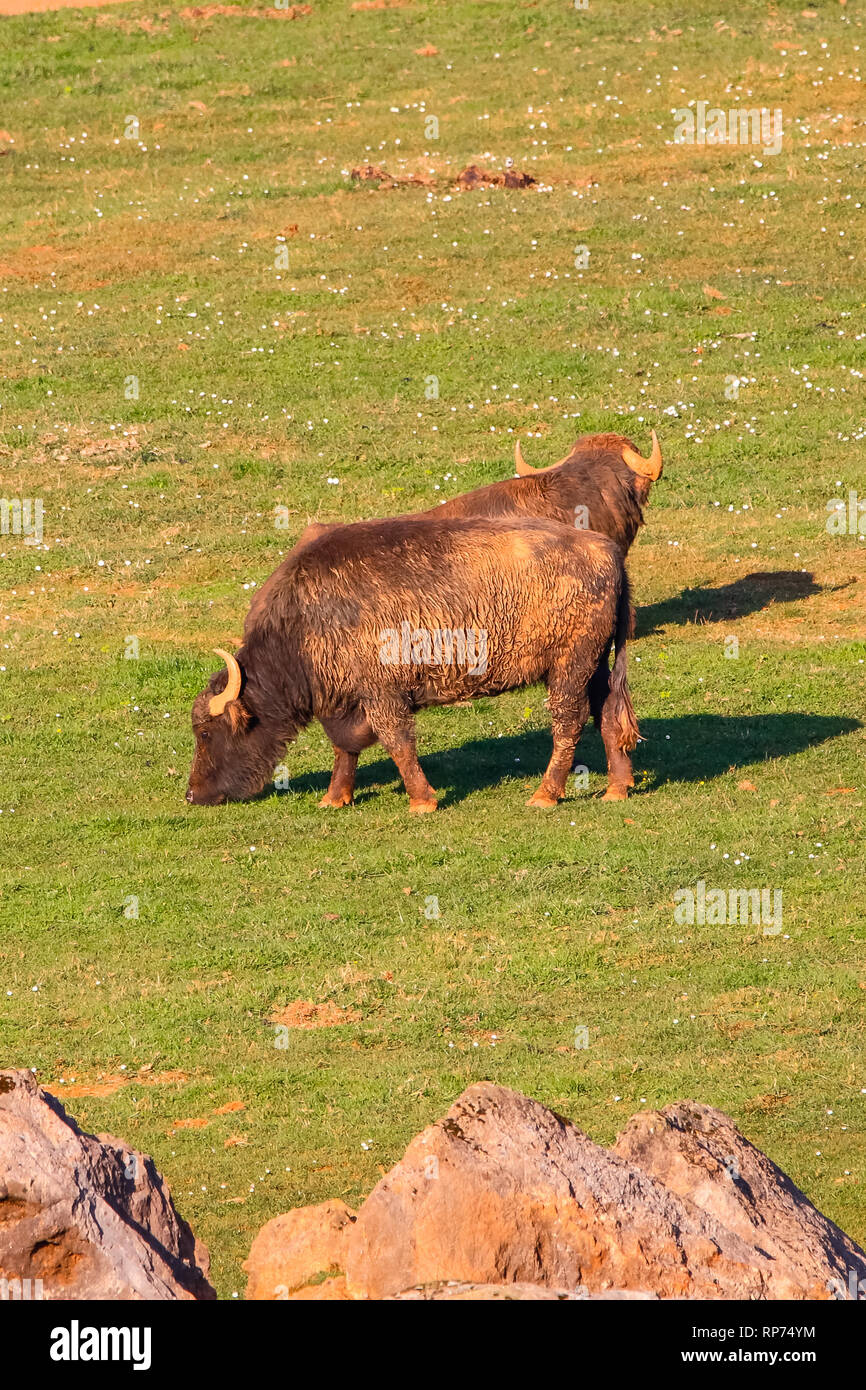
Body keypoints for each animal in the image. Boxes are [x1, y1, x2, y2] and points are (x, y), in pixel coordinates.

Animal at [186, 515, 640, 812]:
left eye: (206, 732)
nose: (193, 794)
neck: (303, 621)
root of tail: (607, 551)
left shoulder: (382, 696)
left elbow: (397, 743)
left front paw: (422, 801)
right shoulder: (346, 703)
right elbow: (345, 747)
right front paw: (334, 799)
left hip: (568, 669)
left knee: (569, 723)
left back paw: (544, 796)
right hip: (595, 666)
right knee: (607, 714)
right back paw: (617, 788)